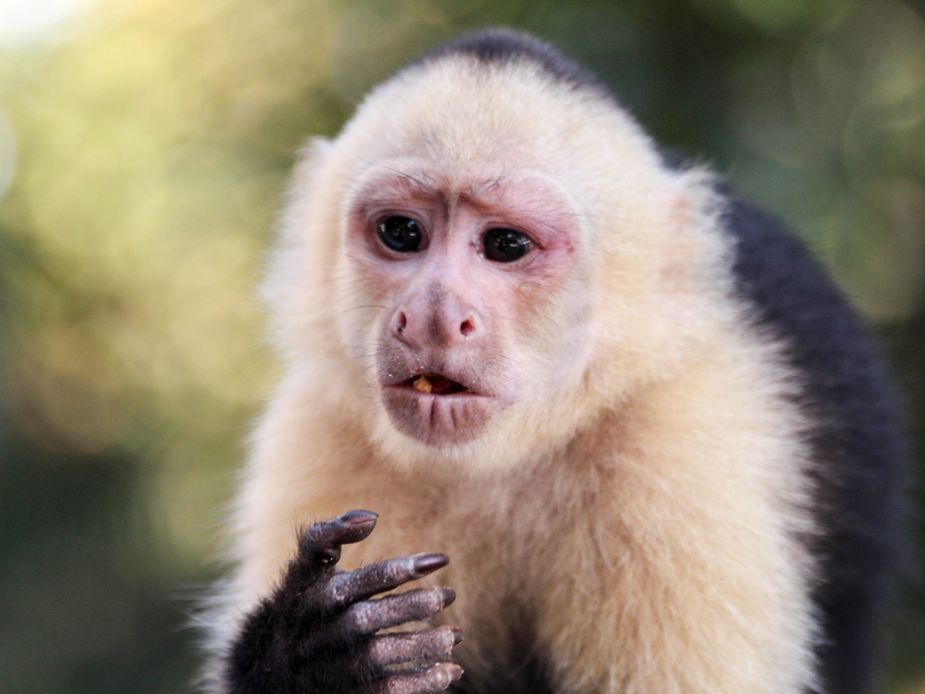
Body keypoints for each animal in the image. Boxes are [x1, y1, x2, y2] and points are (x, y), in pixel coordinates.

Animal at [199, 28, 906, 694]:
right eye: (402, 233)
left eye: (506, 245)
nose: (431, 316)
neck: (508, 455)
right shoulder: (320, 434)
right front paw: (308, 658)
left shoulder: (684, 447)